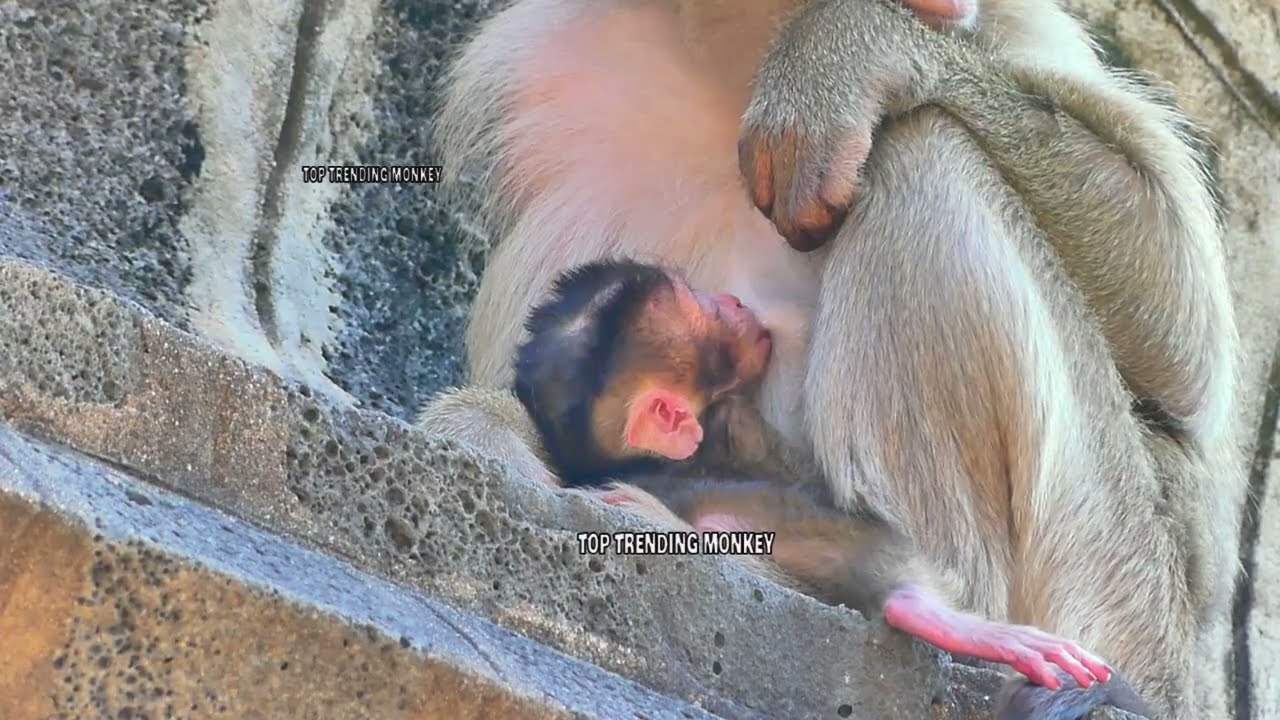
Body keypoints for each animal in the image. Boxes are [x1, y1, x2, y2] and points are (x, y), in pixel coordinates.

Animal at [424, 0, 1246, 717]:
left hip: (1118, 592)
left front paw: (837, 53)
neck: (738, 50)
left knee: (926, 148)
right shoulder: (546, 80)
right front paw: (487, 436)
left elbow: (1184, 353)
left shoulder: (1006, 16)